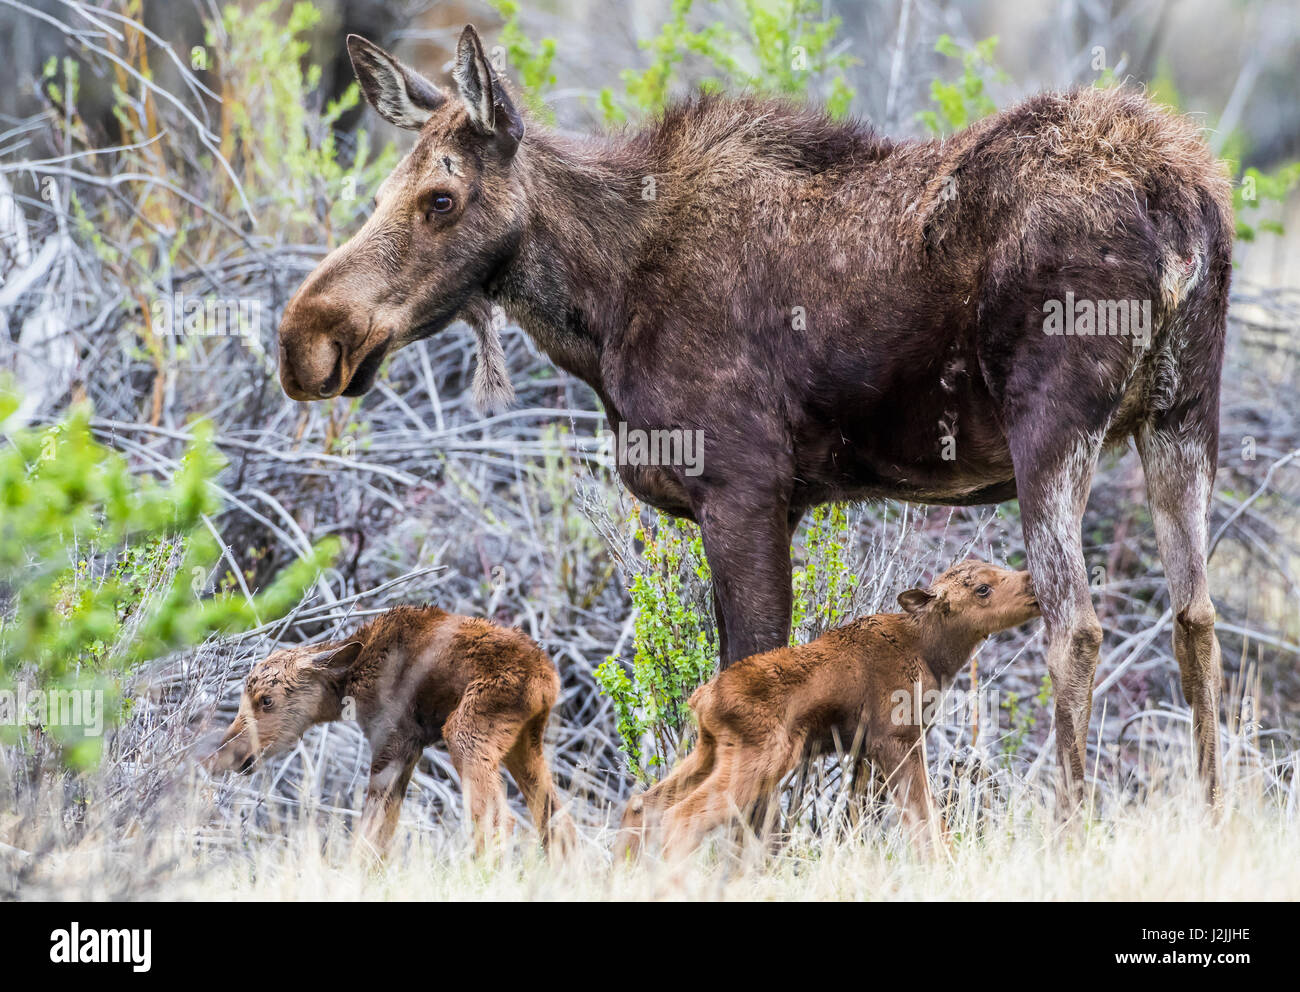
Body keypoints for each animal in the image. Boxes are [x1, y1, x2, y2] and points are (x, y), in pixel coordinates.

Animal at [206, 605, 573, 860]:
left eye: (266, 700)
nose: (221, 755)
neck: (350, 681)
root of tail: (547, 678)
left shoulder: (395, 739)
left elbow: (370, 832)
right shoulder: (408, 749)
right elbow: (384, 835)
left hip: (467, 730)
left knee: (499, 819)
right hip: (524, 742)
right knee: (555, 820)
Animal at [276, 24, 1233, 806]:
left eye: (439, 199)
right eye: (380, 193)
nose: (305, 338)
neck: (600, 305)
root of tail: (1182, 205)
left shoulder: (740, 486)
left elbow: (745, 681)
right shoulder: (784, 500)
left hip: (1054, 423)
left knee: (1077, 625)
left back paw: (1073, 824)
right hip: (1183, 415)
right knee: (1195, 621)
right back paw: (1214, 817)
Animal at [617, 560, 1041, 859]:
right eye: (983, 588)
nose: (1032, 583)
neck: (934, 654)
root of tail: (701, 700)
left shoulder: (865, 751)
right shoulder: (896, 739)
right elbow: (925, 816)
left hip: (710, 751)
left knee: (642, 804)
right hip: (762, 757)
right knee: (681, 818)